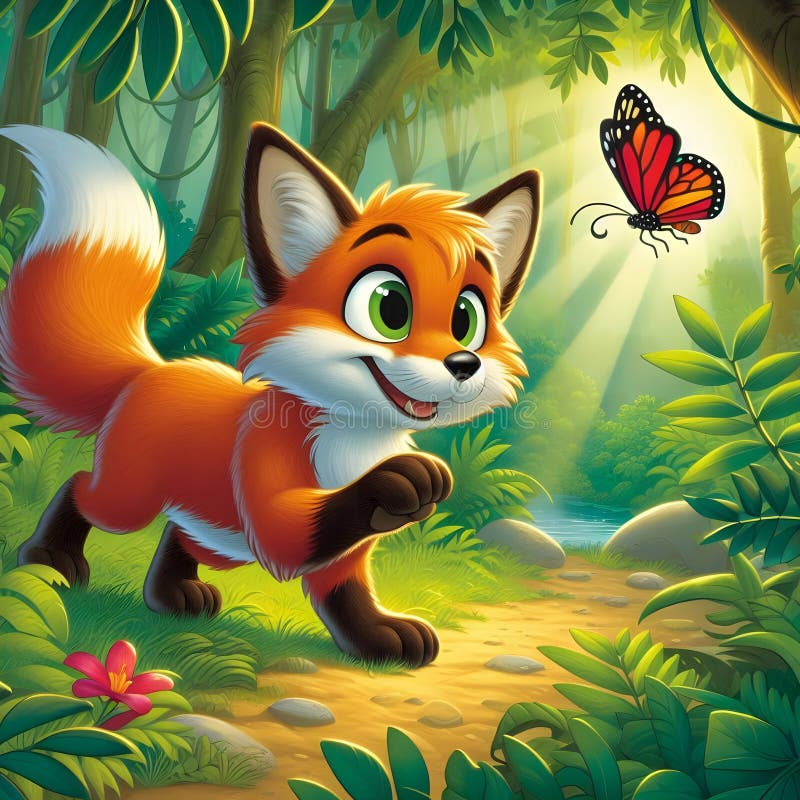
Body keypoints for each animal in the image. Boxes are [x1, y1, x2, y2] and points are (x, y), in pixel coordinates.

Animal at [0, 123, 541, 667]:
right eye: (390, 308)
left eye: (466, 319)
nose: (463, 364)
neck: (353, 442)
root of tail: (151, 369)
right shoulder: (271, 490)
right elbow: (305, 527)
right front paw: (404, 480)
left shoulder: (340, 558)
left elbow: (346, 592)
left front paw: (377, 636)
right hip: (128, 500)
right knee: (79, 488)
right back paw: (51, 559)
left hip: (219, 537)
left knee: (179, 532)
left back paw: (173, 592)